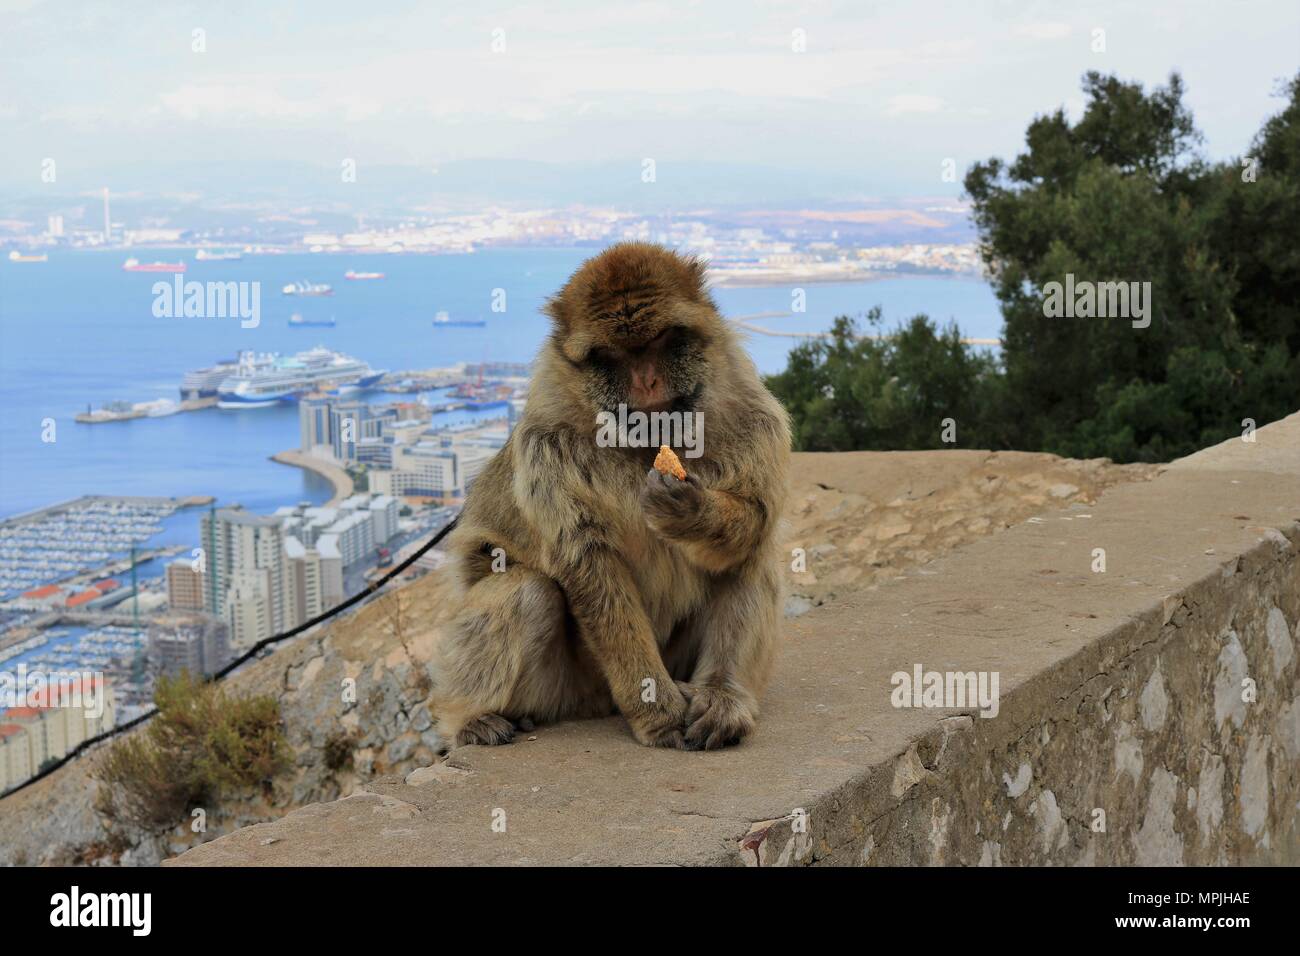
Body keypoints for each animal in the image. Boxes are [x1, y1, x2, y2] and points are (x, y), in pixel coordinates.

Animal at [428, 243, 790, 749]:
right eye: (612, 356)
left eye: (662, 341)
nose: (646, 382)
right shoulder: (545, 447)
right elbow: (590, 567)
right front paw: (656, 710)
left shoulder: (752, 416)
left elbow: (753, 516)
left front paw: (691, 512)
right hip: (569, 687)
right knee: (525, 591)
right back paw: (468, 718)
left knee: (752, 552)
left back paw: (722, 696)